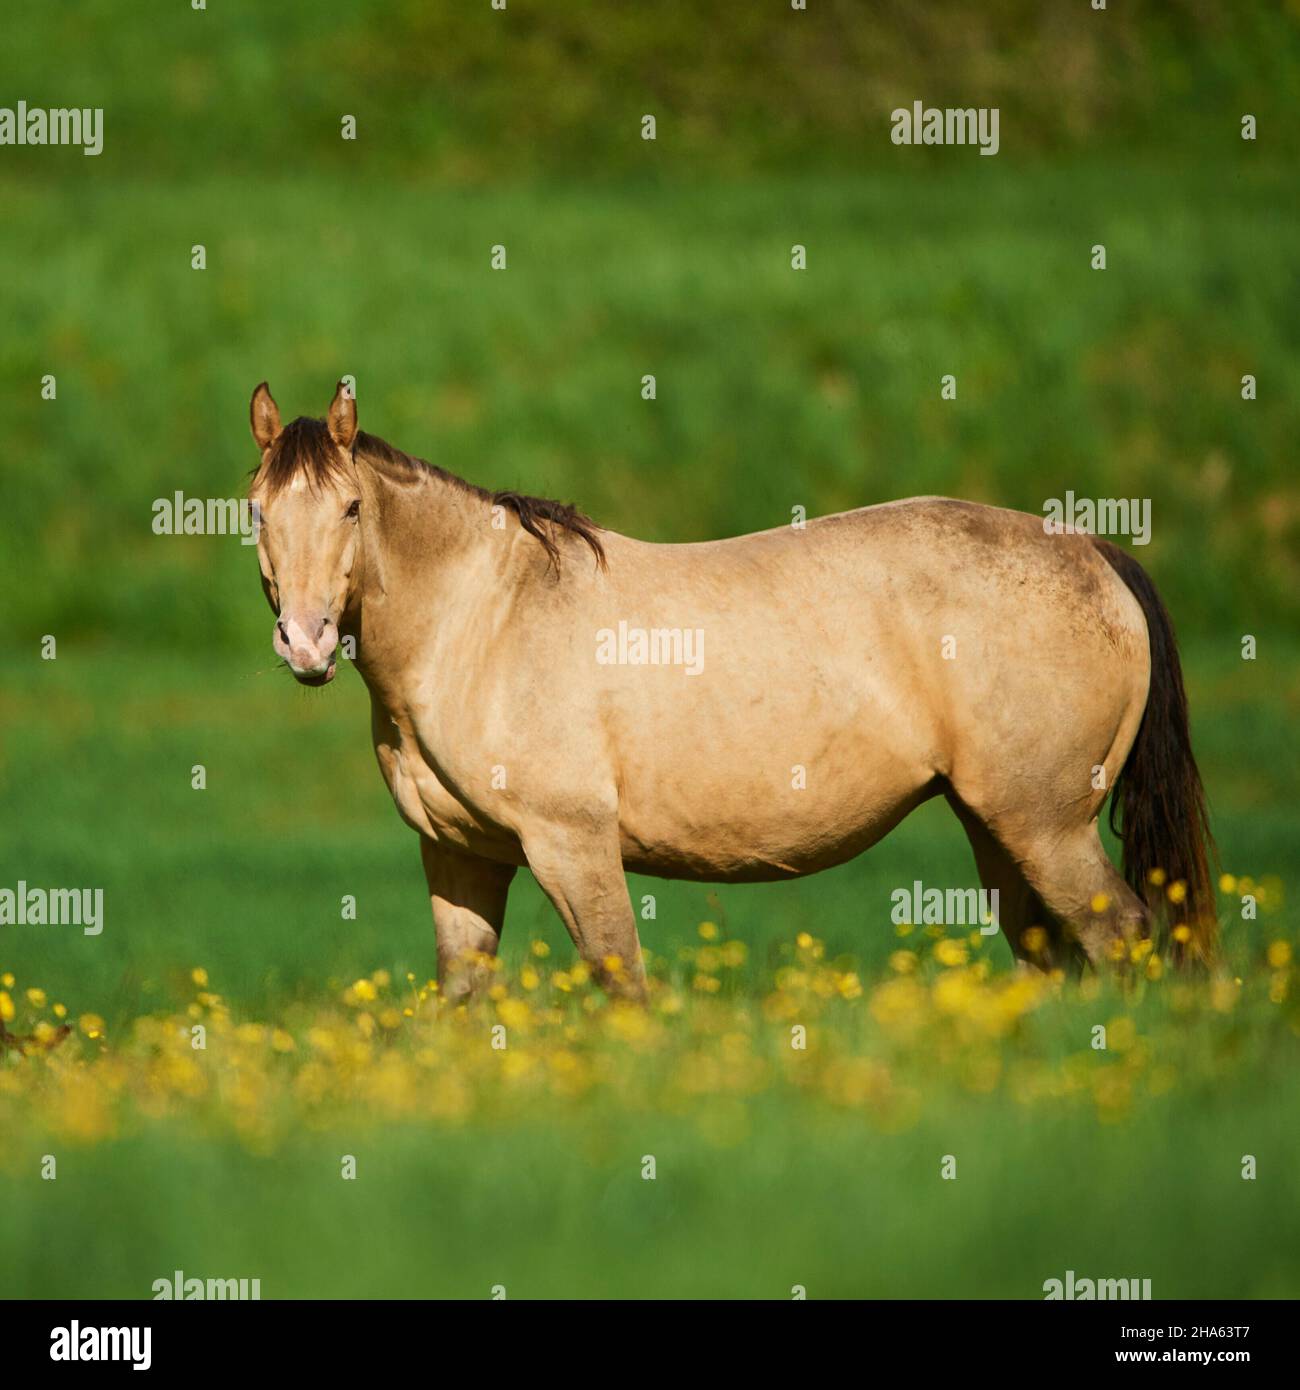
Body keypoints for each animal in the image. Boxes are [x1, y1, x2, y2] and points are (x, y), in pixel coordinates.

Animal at [247, 380, 1215, 1000]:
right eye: (256, 511)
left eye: (350, 509)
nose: (306, 644)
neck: (483, 618)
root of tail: (1096, 553)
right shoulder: (461, 857)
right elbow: (460, 999)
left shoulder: (572, 847)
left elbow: (621, 985)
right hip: (999, 829)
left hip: (1046, 826)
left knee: (1125, 937)